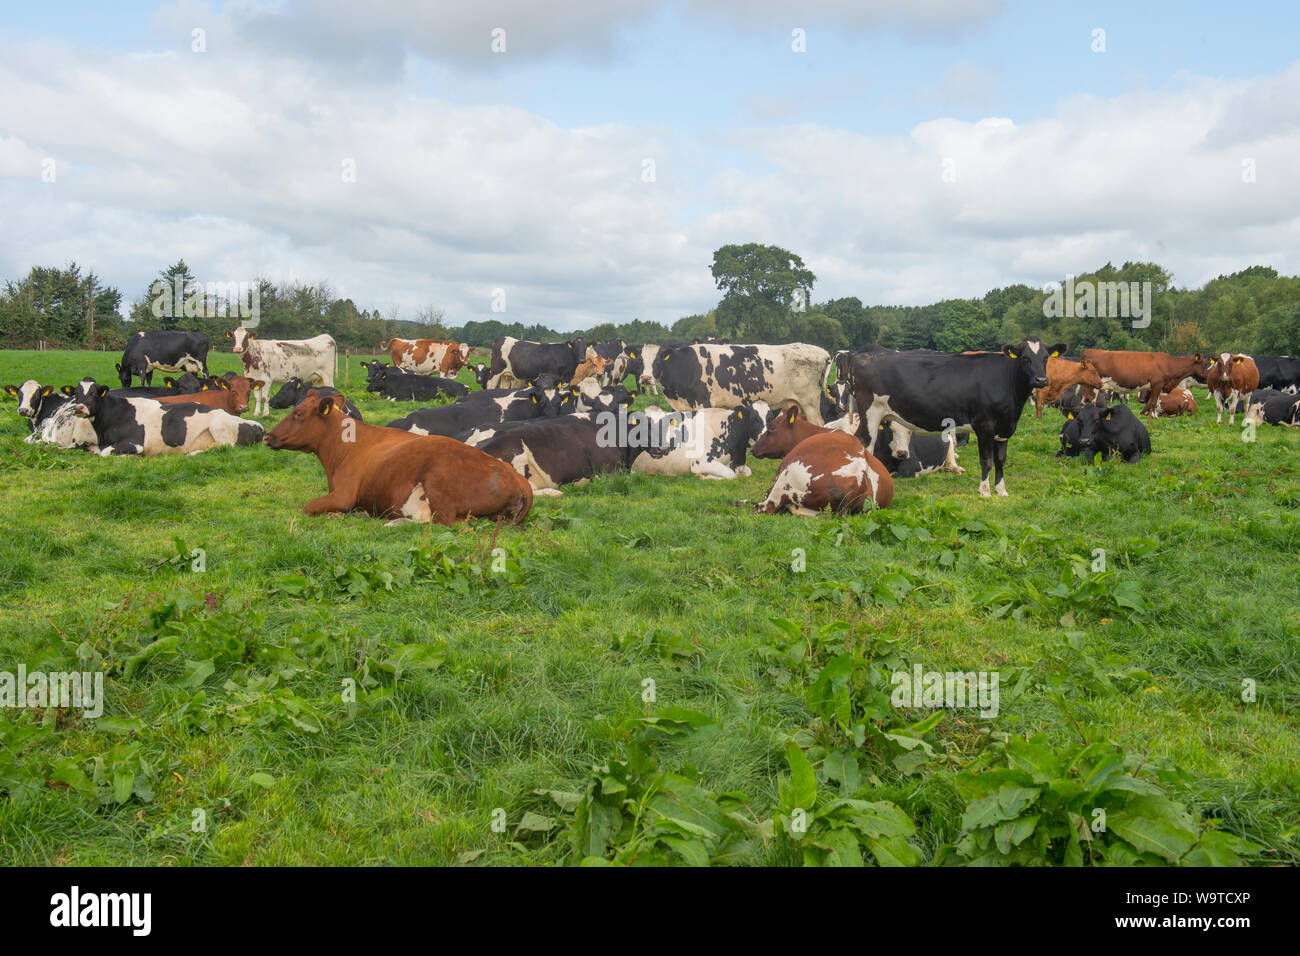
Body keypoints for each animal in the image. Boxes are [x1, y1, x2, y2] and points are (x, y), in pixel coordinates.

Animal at [71, 379, 266, 457]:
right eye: (76, 394)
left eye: (94, 393)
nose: (79, 408)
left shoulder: (135, 443)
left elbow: (105, 453)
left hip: (218, 426)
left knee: (226, 447)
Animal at [263, 390, 533, 528]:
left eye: (298, 413)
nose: (267, 436)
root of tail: (519, 479)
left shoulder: (343, 495)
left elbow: (307, 508)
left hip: (438, 482)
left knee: (444, 524)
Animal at [852, 338, 1066, 502]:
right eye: (1025, 358)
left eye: (1045, 358)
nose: (1041, 380)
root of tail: (867, 354)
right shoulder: (985, 426)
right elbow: (987, 460)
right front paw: (985, 491)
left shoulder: (1004, 429)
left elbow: (1001, 460)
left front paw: (1001, 490)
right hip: (870, 414)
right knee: (866, 445)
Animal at [1071, 348, 1211, 416]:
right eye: (1205, 364)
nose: (1208, 376)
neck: (1169, 364)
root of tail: (1090, 352)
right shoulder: (1157, 384)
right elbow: (1153, 402)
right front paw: (1153, 417)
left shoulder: (1155, 387)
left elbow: (1153, 402)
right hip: (1095, 385)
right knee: (1089, 400)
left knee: (1085, 399)